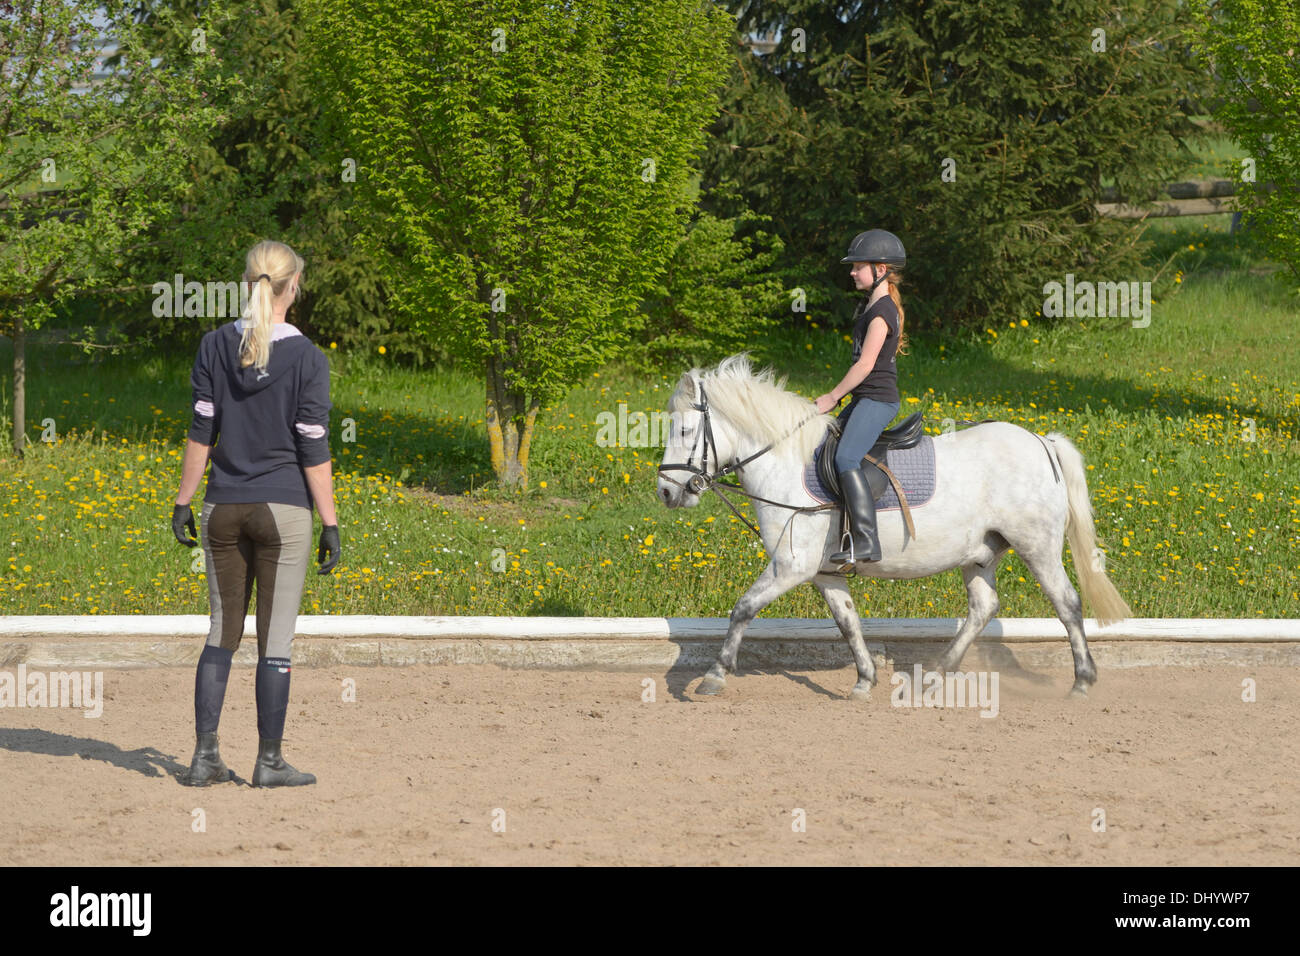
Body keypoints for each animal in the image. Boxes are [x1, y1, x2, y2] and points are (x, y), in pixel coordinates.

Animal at [656, 353, 1132, 700]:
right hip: (980, 553)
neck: (784, 461)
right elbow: (848, 622)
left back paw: (1082, 681)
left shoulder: (791, 566)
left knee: (1067, 603)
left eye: (685, 430)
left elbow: (743, 608)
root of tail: (1041, 442)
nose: (665, 492)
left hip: (1037, 545)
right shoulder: (824, 573)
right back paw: (935, 676)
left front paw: (715, 675)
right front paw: (865, 679)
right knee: (983, 608)